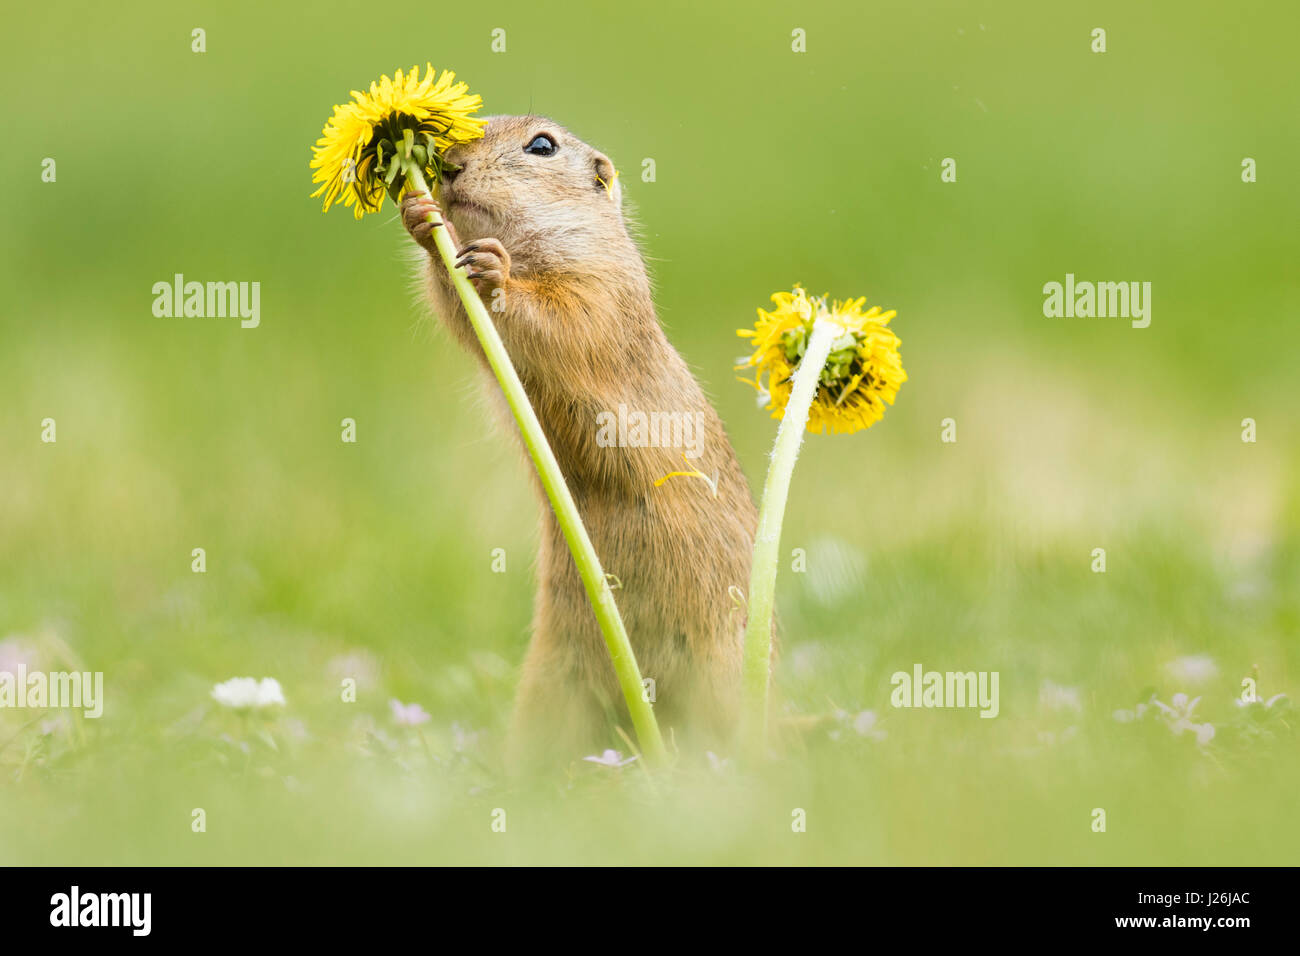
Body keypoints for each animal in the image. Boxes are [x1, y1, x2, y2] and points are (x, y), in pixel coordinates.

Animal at [401, 116, 760, 771]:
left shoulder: (600, 287)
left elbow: (562, 317)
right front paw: (419, 216)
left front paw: (493, 268)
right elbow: (459, 310)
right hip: (550, 687)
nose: (448, 167)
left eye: (542, 145)